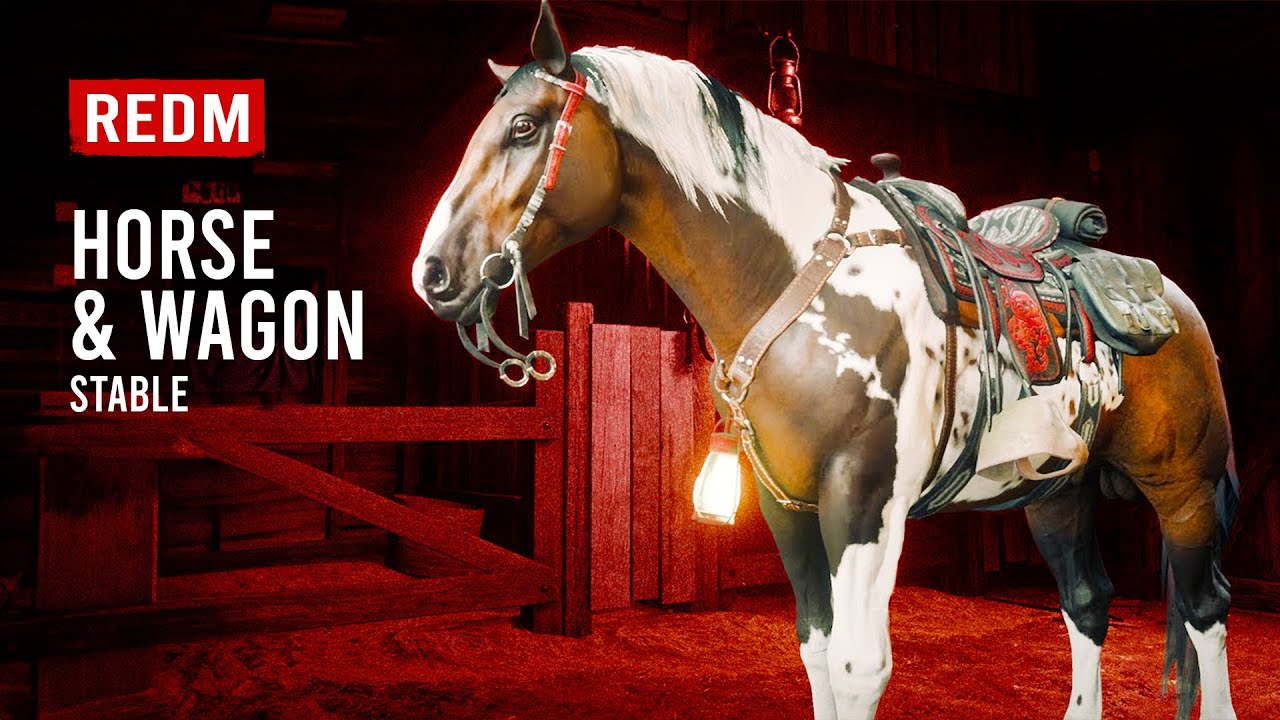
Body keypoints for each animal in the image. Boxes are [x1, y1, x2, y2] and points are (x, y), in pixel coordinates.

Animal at [410, 4, 1239, 719]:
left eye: (524, 126)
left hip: (1184, 490)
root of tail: (1176, 302)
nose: (434, 273)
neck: (800, 280)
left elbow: (857, 667)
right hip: (1056, 493)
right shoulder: (790, 505)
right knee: (1088, 603)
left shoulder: (865, 502)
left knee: (1205, 610)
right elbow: (815, 653)